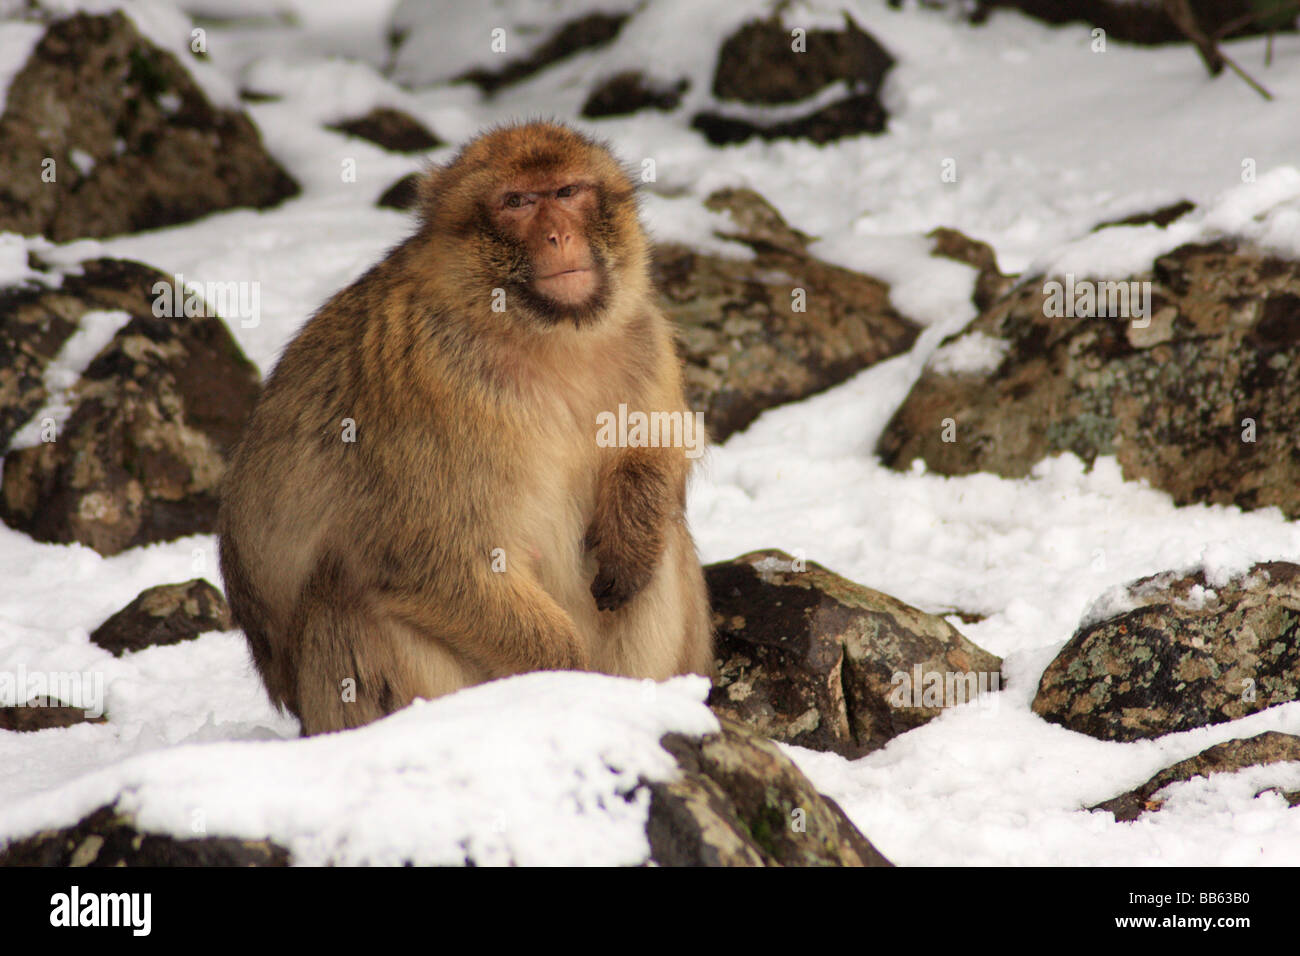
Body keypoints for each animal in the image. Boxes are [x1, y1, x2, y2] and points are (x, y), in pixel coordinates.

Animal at [218, 121, 714, 736]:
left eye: (568, 192)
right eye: (517, 202)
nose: (559, 236)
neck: (546, 341)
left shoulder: (643, 335)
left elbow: (657, 448)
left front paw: (632, 530)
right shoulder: (429, 382)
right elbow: (428, 560)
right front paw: (562, 674)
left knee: (663, 540)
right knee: (341, 590)